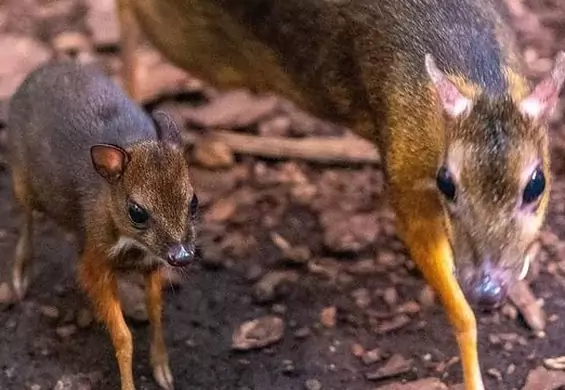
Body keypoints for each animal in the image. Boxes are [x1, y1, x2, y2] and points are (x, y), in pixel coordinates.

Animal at [5, 61, 196, 390]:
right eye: (137, 212)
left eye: (193, 201)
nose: (182, 256)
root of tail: (40, 70)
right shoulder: (95, 265)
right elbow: (122, 336)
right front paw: (129, 385)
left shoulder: (152, 265)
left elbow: (156, 313)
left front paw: (162, 370)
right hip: (21, 177)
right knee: (27, 213)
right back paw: (20, 274)